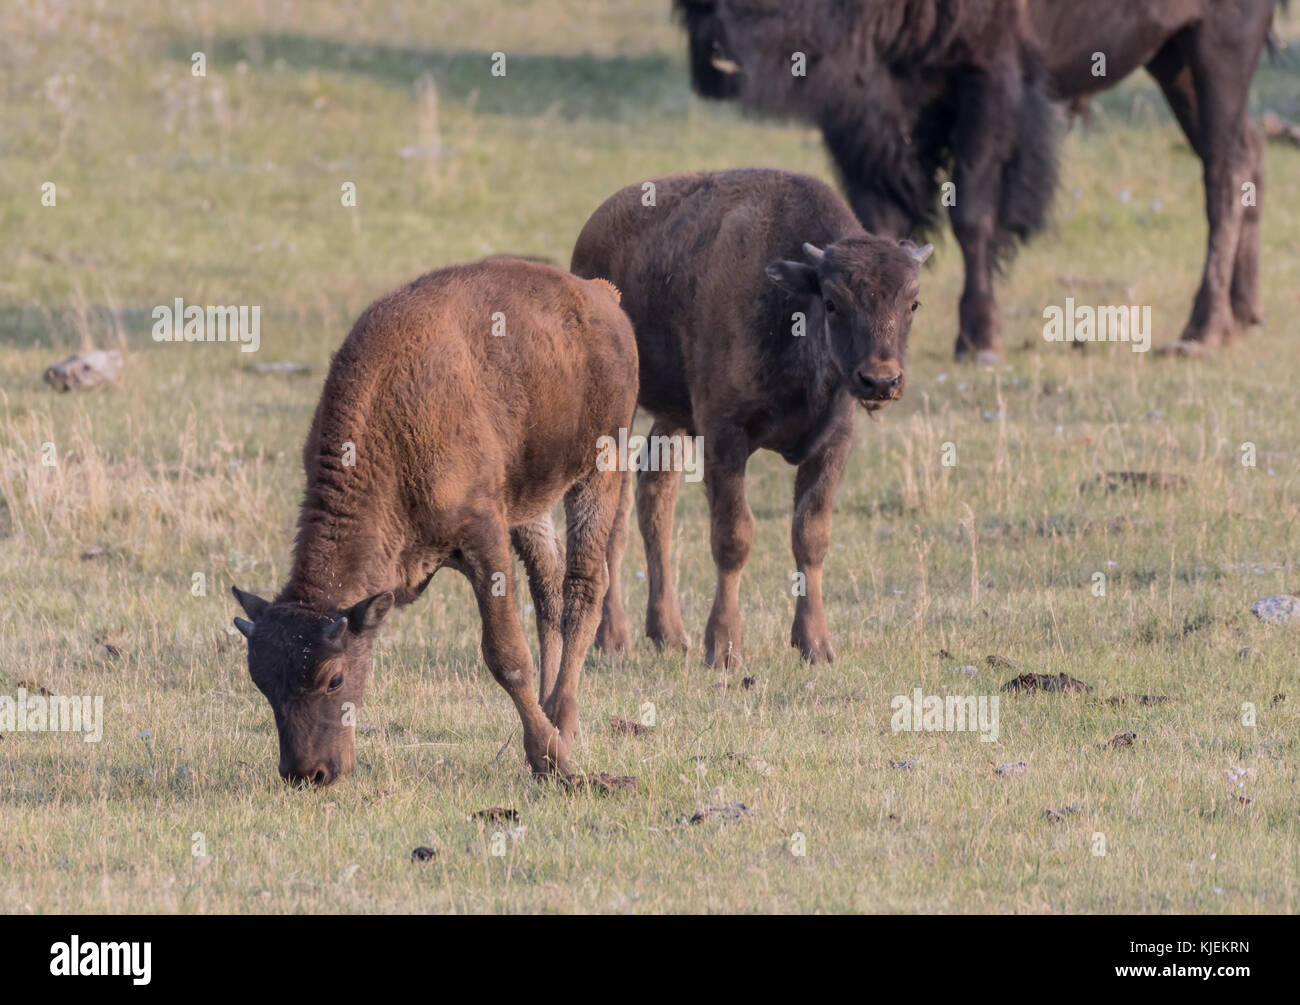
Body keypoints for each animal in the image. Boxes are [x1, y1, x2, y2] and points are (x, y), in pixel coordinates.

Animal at [231, 258, 638, 786]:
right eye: (261, 681)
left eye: (333, 678)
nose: (307, 773)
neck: (386, 432)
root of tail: (602, 298)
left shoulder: (484, 538)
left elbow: (506, 656)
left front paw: (550, 761)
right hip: (532, 502)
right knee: (549, 586)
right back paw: (553, 713)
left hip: (600, 470)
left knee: (585, 585)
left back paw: (562, 724)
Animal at [571, 168, 930, 666]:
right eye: (833, 301)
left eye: (912, 303)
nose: (880, 380)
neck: (791, 302)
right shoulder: (725, 436)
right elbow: (733, 537)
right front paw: (723, 648)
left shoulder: (832, 443)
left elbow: (810, 535)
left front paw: (816, 644)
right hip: (620, 416)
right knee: (615, 517)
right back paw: (613, 636)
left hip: (674, 421)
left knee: (654, 499)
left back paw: (668, 633)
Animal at [674, 0, 1281, 360]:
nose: (717, 56)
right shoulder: (865, 113)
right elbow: (876, 217)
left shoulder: (986, 80)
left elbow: (973, 216)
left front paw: (979, 338)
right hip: (1172, 59)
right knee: (1245, 153)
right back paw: (1245, 313)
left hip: (1218, 46)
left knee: (1224, 171)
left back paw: (1203, 328)